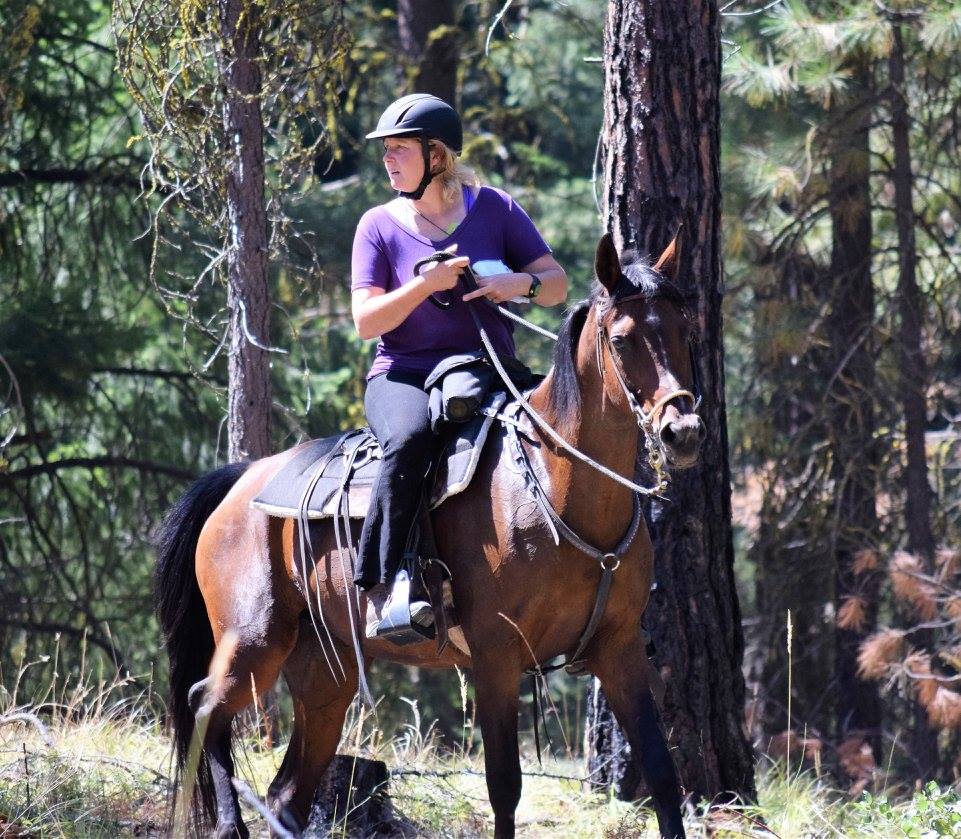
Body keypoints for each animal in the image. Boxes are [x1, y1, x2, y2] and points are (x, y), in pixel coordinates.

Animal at [155, 232, 704, 839]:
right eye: (623, 339)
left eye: (686, 331)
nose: (682, 432)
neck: (558, 487)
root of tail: (240, 480)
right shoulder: (495, 656)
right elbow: (505, 786)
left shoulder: (619, 648)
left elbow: (661, 772)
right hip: (254, 639)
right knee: (204, 704)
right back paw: (230, 823)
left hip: (325, 674)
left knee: (286, 793)